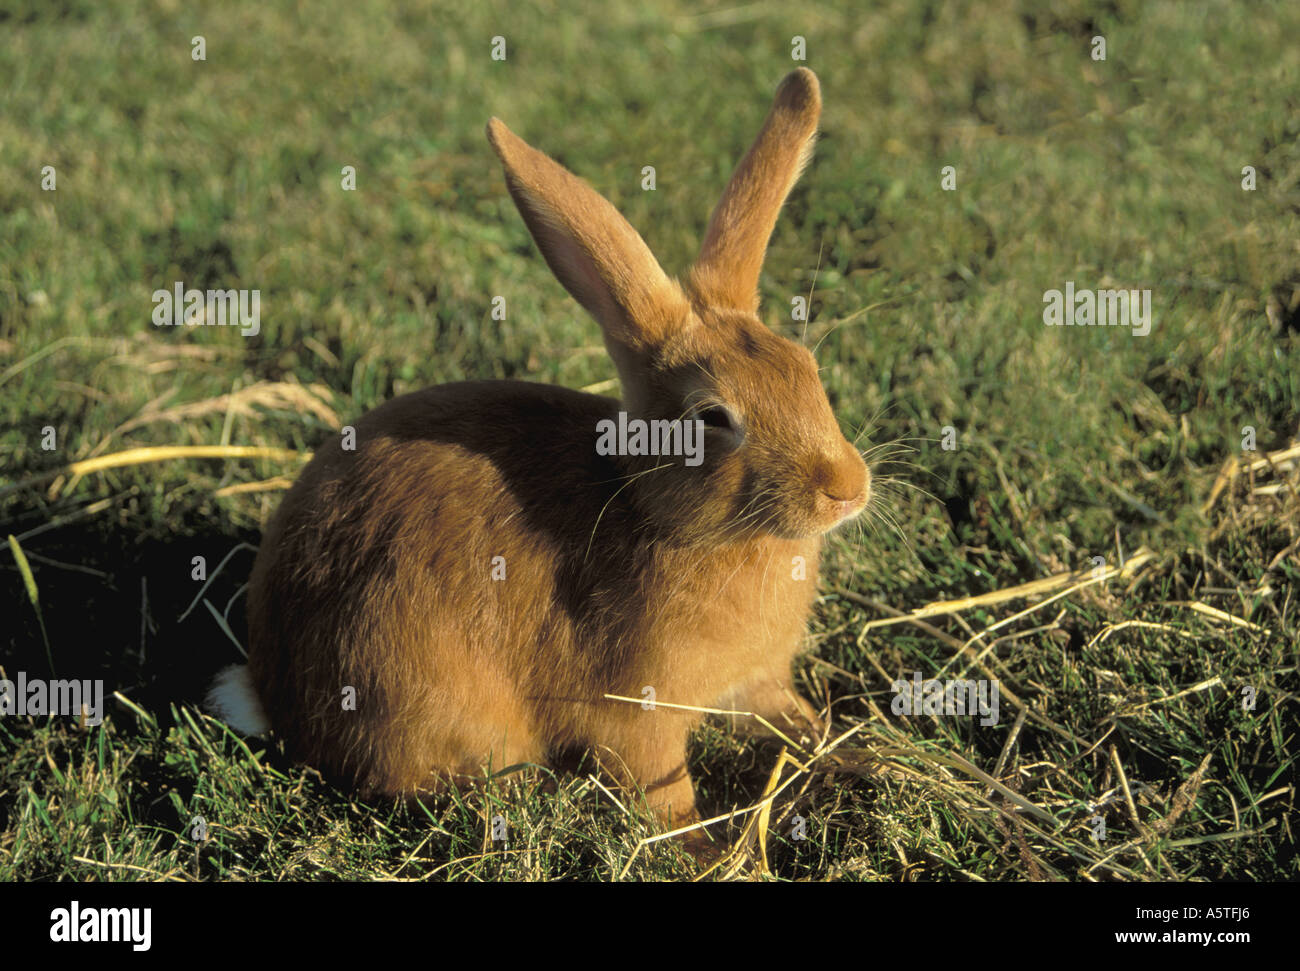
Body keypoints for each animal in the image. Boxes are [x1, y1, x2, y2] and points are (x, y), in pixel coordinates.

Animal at [207, 67, 869, 842]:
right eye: (711, 418)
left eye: (807, 370)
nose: (847, 487)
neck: (653, 510)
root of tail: (274, 688)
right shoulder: (635, 719)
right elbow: (663, 791)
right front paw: (704, 851)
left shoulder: (759, 682)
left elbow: (796, 721)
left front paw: (858, 755)